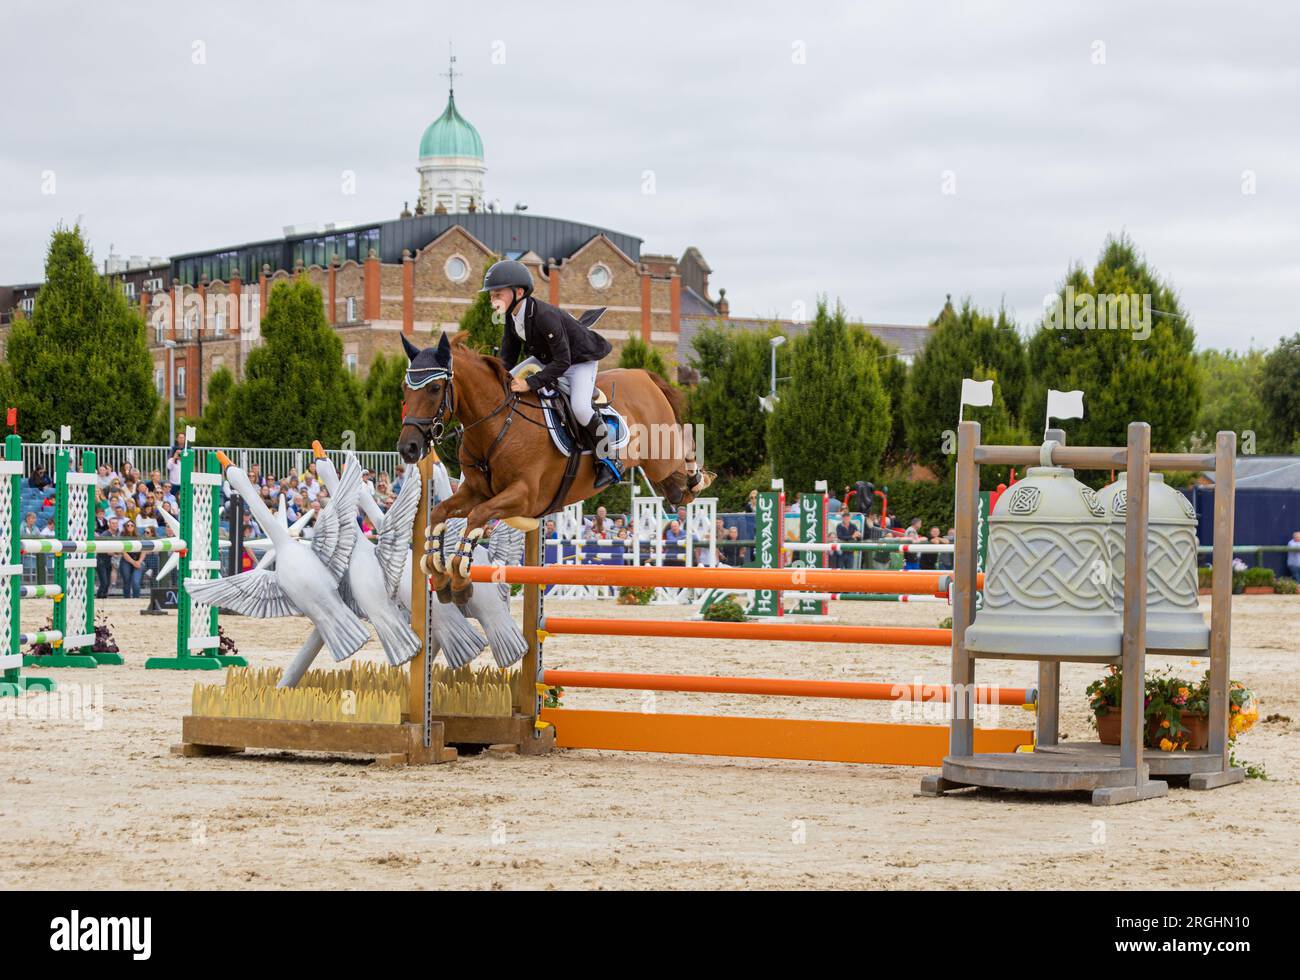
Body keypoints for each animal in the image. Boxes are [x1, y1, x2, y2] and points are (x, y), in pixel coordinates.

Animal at [398, 331, 713, 604]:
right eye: (404, 389)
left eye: (434, 388)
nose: (408, 448)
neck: (499, 424)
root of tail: (643, 375)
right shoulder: (476, 491)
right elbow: (439, 512)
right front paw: (438, 573)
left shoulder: (524, 497)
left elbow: (477, 516)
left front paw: (461, 580)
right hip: (660, 472)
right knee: (675, 488)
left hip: (660, 458)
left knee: (683, 454)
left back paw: (699, 479)